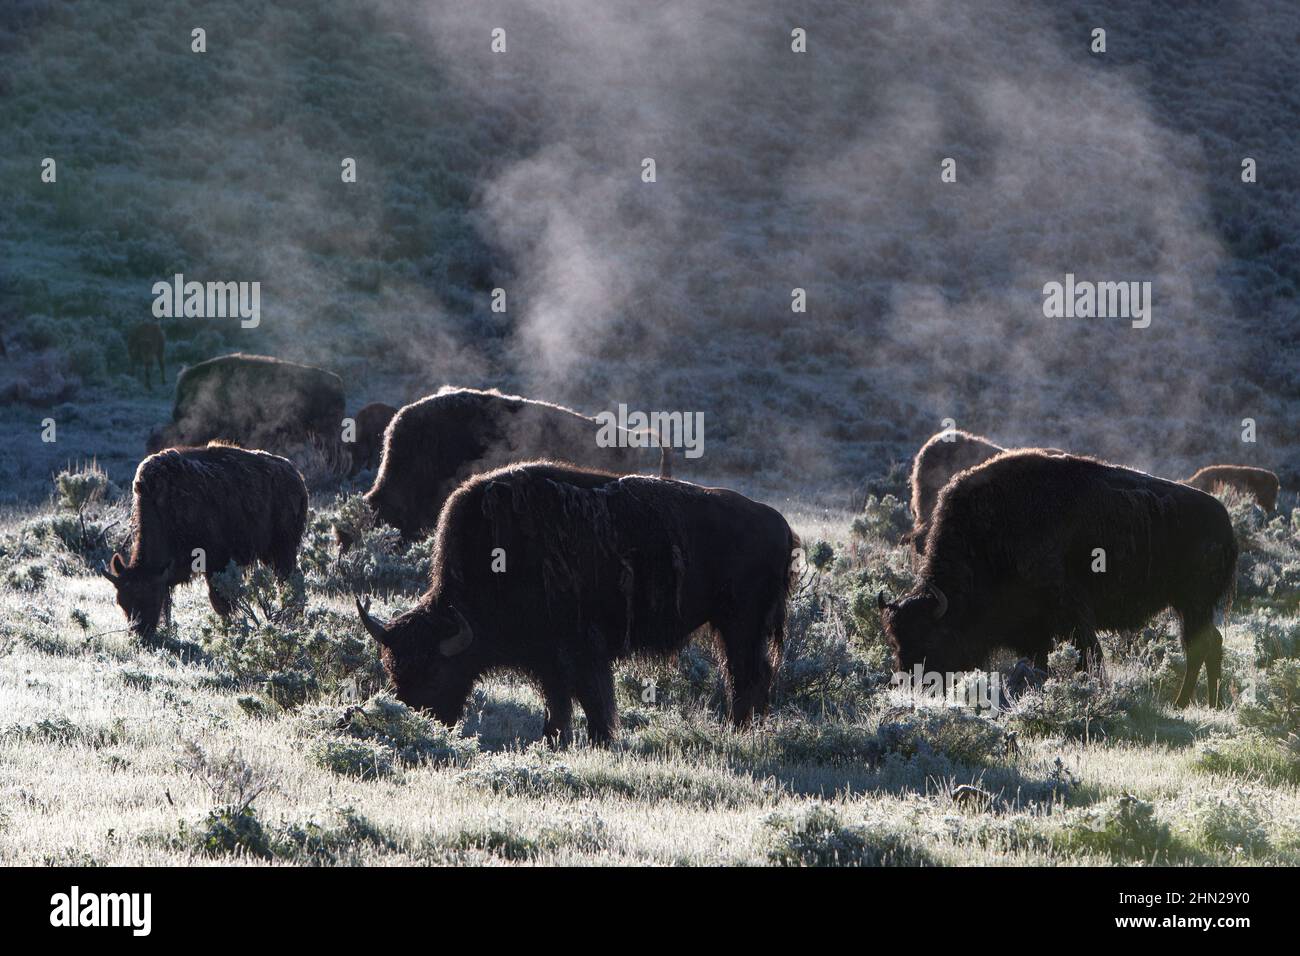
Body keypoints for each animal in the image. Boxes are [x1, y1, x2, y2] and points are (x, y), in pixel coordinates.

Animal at [103, 443, 308, 641]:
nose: (139, 634)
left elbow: (220, 602)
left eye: (150, 598)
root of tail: (296, 476)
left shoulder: (215, 564)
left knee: (290, 581)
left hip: (284, 550)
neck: (163, 505)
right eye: (121, 602)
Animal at [355, 461, 797, 744]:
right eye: (393, 672)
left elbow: (592, 699)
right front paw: (554, 739)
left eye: (435, 673)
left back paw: (740, 731)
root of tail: (779, 524)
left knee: (746, 676)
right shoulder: (547, 658)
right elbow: (559, 703)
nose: (417, 723)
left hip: (741, 626)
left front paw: (601, 740)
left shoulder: (581, 650)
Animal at [879, 451, 1237, 708]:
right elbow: (1042, 663)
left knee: (1200, 646)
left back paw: (1185, 703)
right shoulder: (1036, 631)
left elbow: (1088, 657)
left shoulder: (1071, 616)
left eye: (931, 639)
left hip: (1193, 605)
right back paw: (1209, 702)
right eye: (895, 642)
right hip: (1189, 607)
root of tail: (1225, 522)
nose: (912, 685)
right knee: (1209, 644)